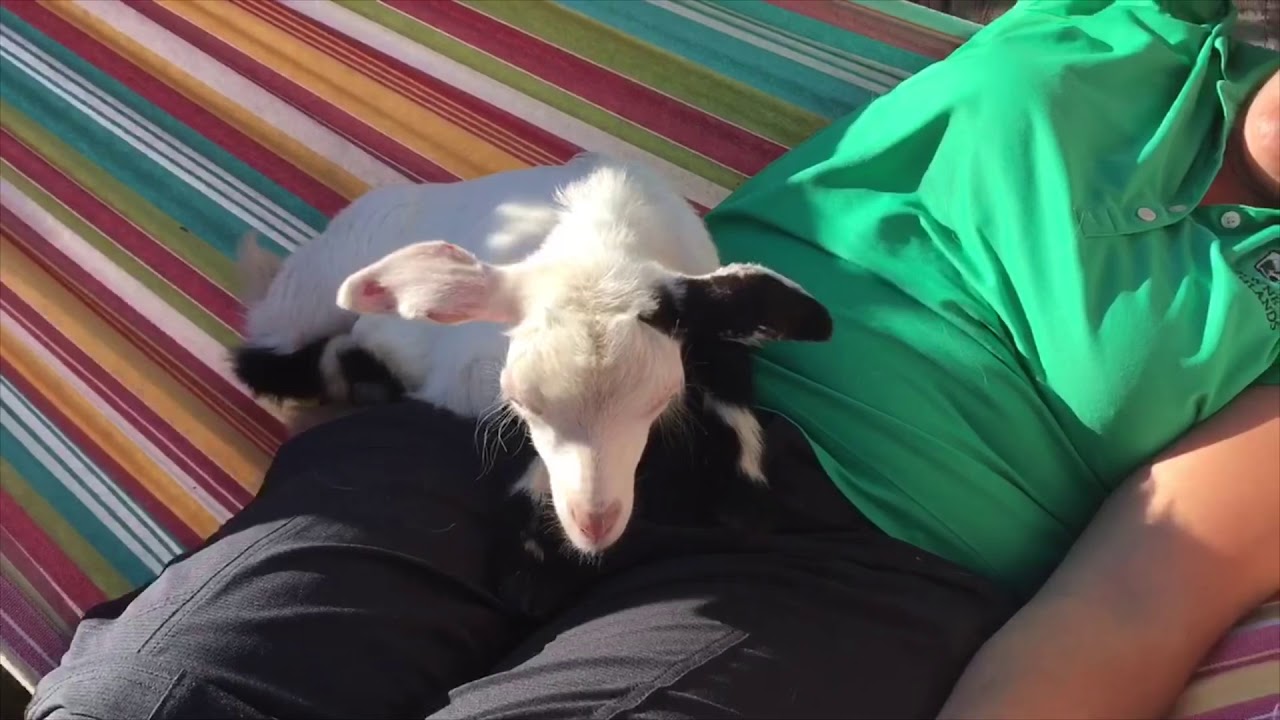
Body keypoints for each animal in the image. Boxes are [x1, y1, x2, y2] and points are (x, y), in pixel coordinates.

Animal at [233, 153, 832, 560]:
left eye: (660, 400)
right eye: (522, 402)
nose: (594, 524)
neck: (604, 228)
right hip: (312, 292)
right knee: (266, 351)